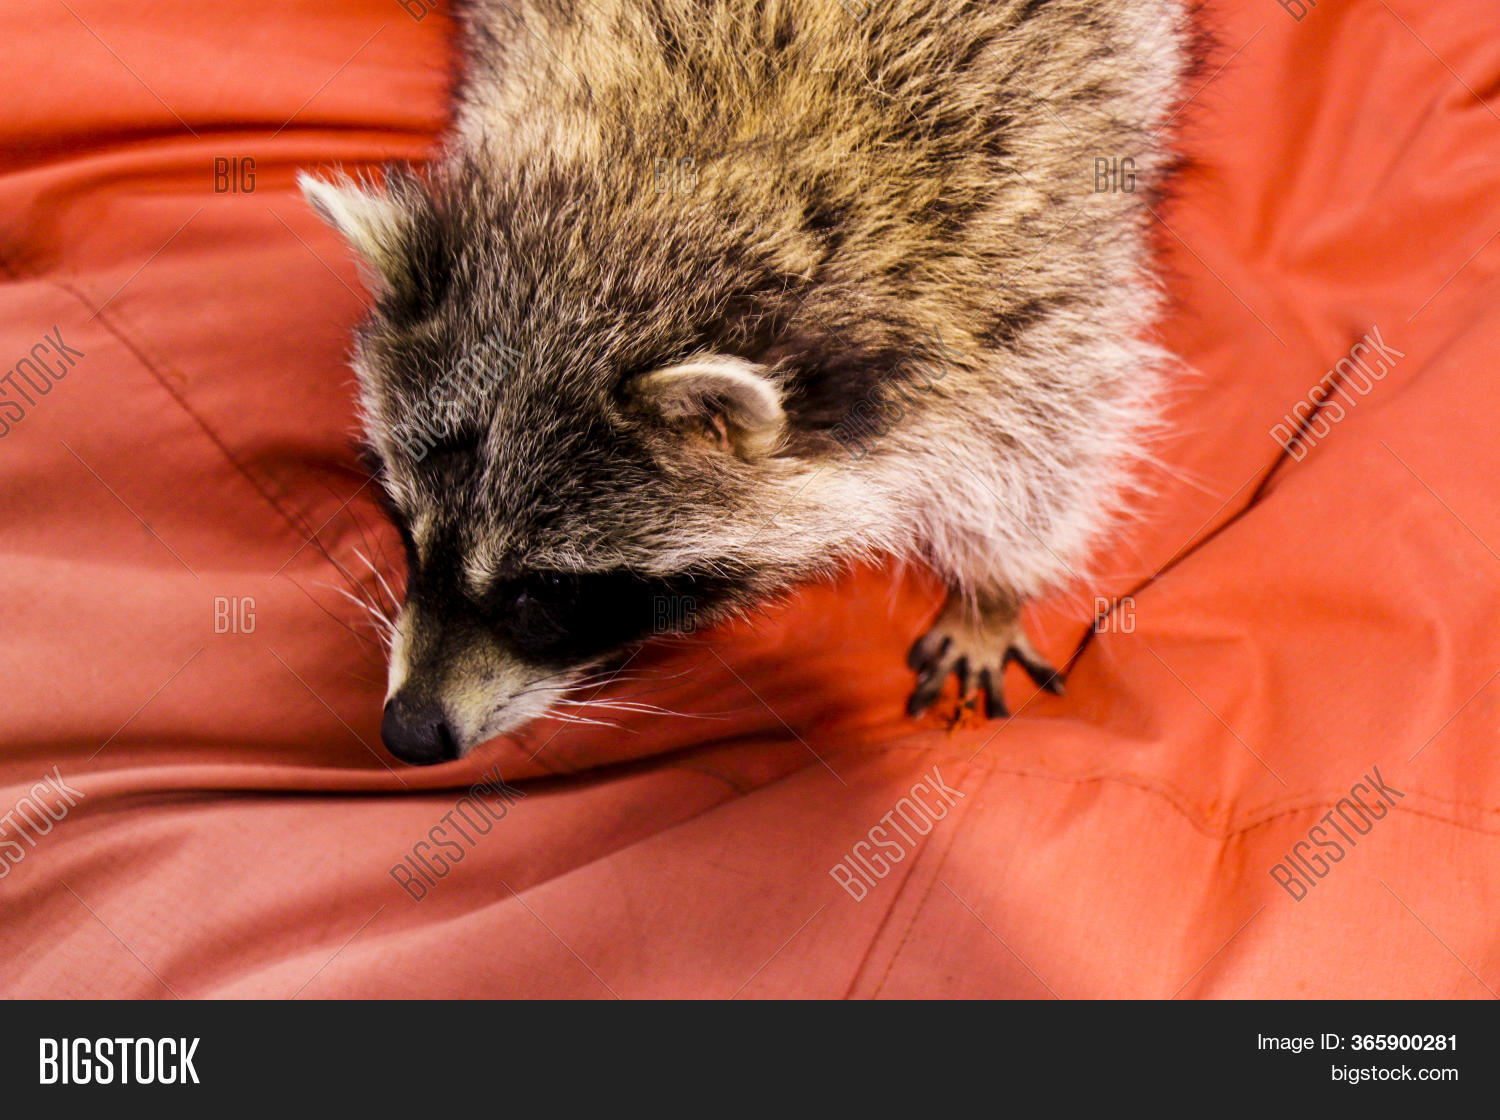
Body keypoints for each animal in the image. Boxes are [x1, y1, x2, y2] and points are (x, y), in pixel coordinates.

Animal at [300, 0, 1188, 764]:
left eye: (549, 590)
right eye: (404, 528)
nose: (410, 732)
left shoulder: (1015, 273)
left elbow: (1053, 436)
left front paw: (993, 590)